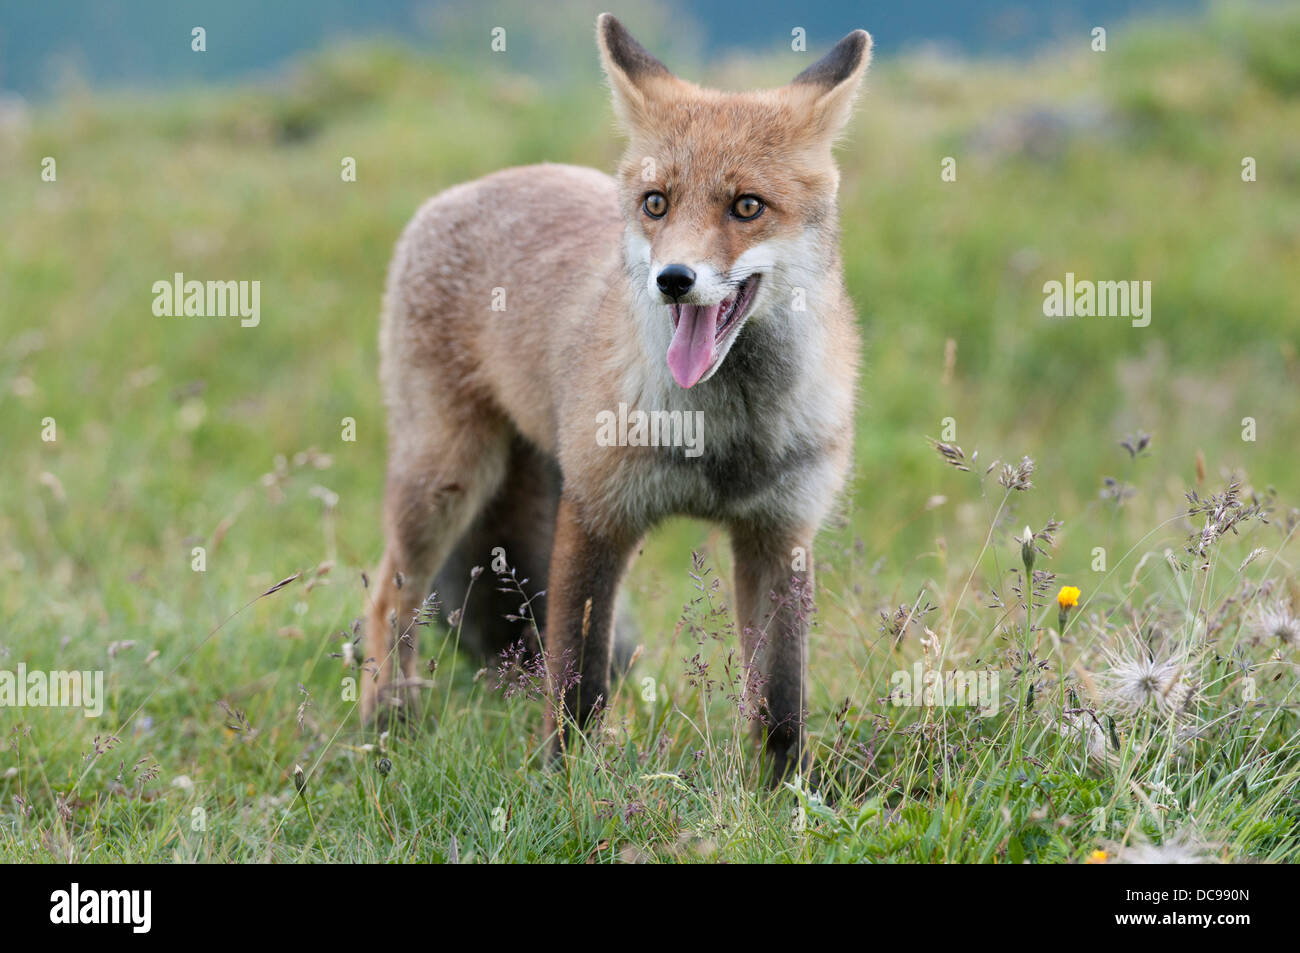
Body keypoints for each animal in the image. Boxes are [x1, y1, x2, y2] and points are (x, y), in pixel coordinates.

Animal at [363, 13, 871, 782]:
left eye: (746, 206)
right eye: (656, 203)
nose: (674, 279)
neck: (720, 435)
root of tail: (475, 184)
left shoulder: (779, 533)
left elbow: (781, 699)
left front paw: (781, 792)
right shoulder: (599, 513)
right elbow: (578, 680)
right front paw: (564, 782)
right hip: (447, 478)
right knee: (390, 594)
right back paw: (385, 722)